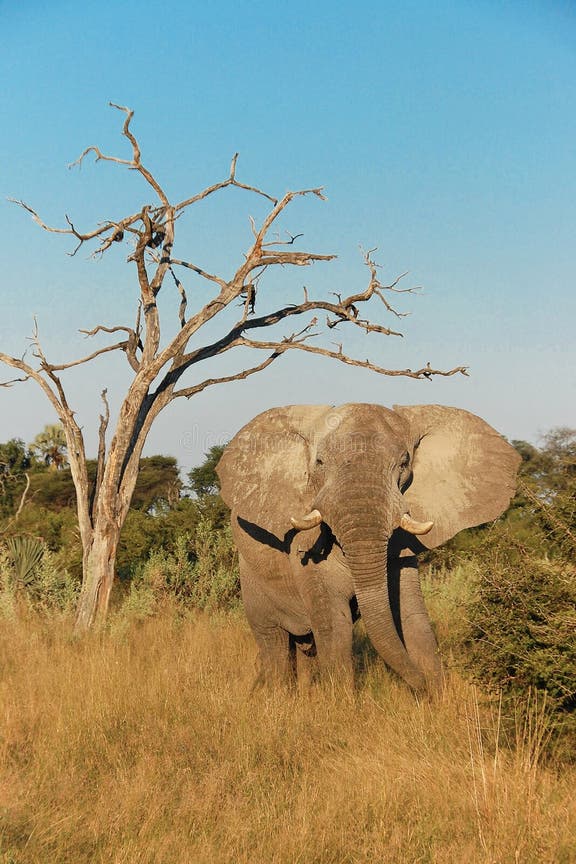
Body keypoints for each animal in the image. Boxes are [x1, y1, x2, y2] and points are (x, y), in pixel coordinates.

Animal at [217, 403, 520, 693]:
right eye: (320, 462)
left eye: (404, 463)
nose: (420, 684)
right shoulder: (305, 548)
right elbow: (333, 622)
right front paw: (342, 703)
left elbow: (411, 613)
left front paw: (436, 698)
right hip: (252, 580)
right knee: (274, 643)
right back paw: (278, 695)